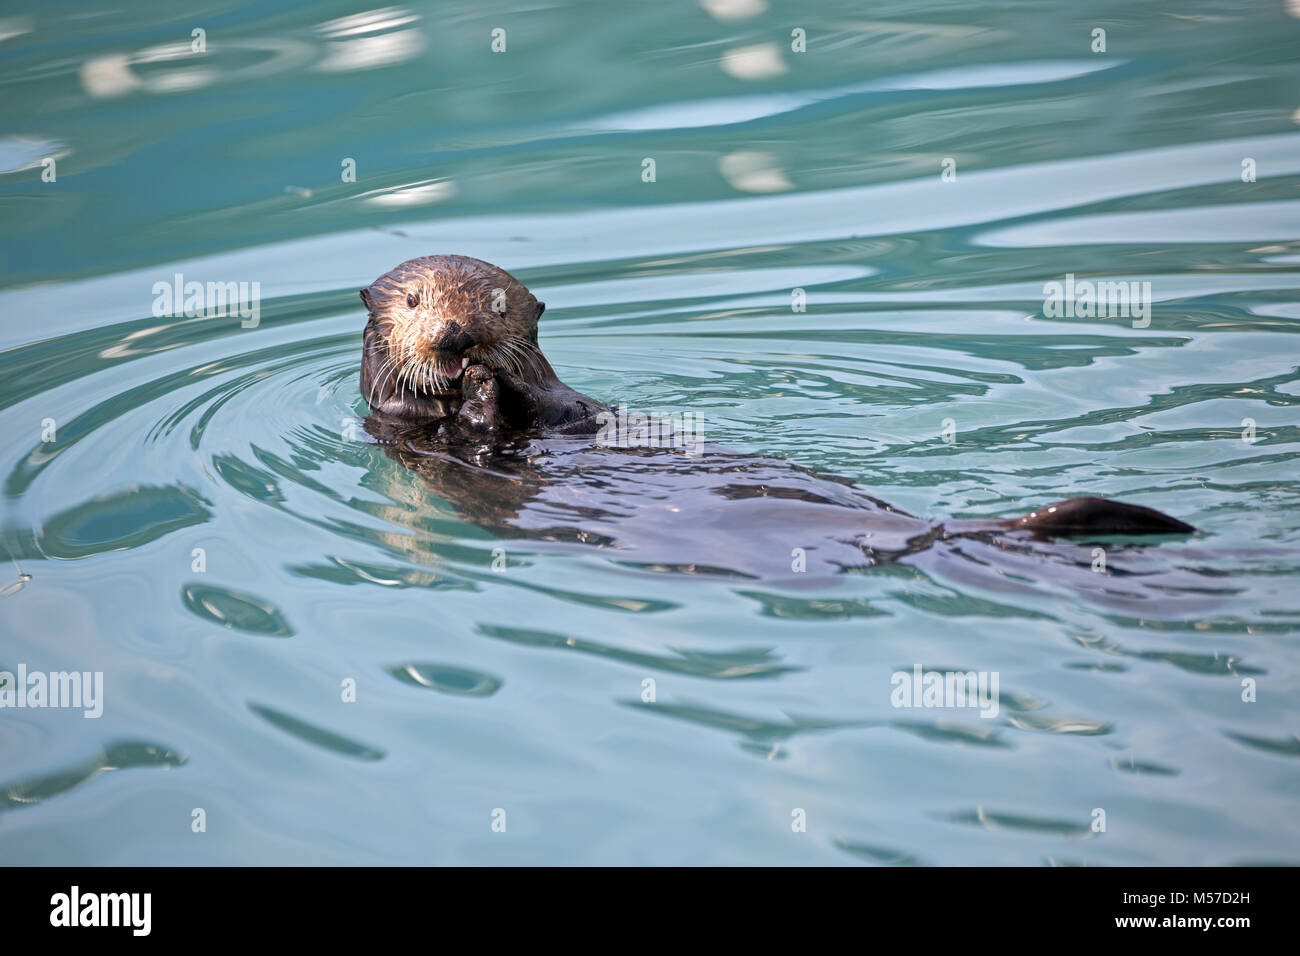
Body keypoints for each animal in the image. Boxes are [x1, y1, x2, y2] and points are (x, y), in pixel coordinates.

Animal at [357, 255, 1196, 591]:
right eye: (414, 302)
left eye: (496, 307)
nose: (456, 340)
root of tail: (917, 528)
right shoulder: (405, 433)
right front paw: (471, 392)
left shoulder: (562, 403)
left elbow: (556, 406)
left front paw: (490, 384)